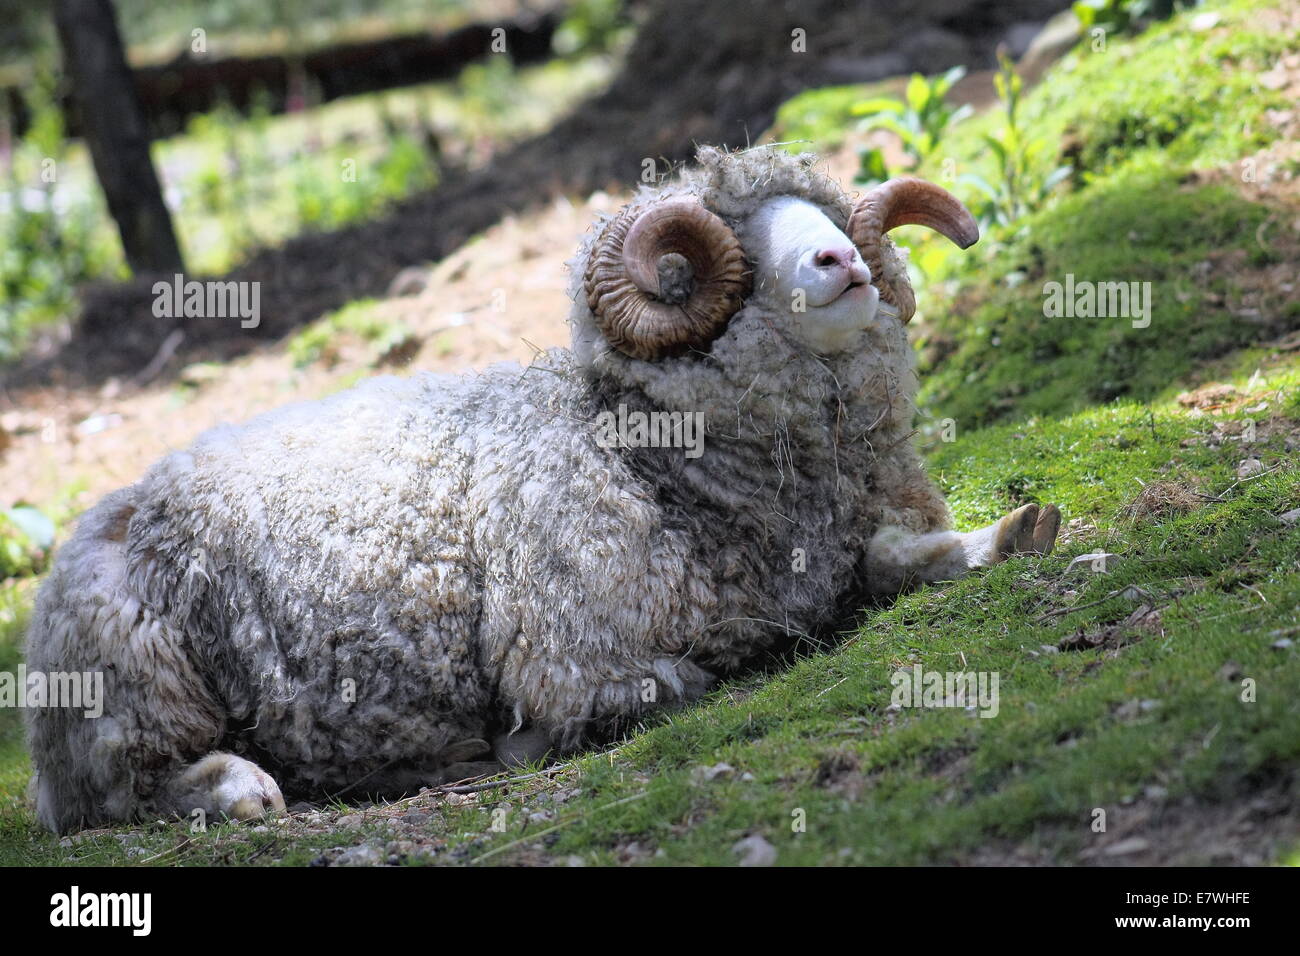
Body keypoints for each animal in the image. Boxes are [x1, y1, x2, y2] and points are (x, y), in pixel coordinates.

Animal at [24, 146, 1059, 833]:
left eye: (834, 217)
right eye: (732, 242)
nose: (840, 262)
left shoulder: (853, 531)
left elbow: (898, 559)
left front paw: (1011, 532)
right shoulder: (566, 652)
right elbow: (667, 681)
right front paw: (522, 745)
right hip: (136, 689)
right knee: (122, 790)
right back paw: (245, 786)